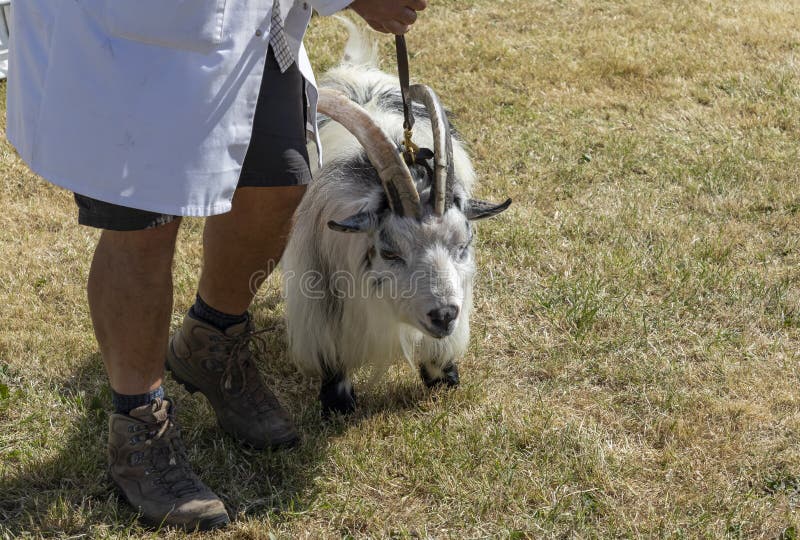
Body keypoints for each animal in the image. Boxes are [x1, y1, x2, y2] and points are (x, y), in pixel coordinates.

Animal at [282, 22, 511, 415]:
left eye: (462, 245)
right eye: (390, 253)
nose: (444, 314)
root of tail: (354, 70)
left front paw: (442, 374)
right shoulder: (321, 298)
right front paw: (337, 401)